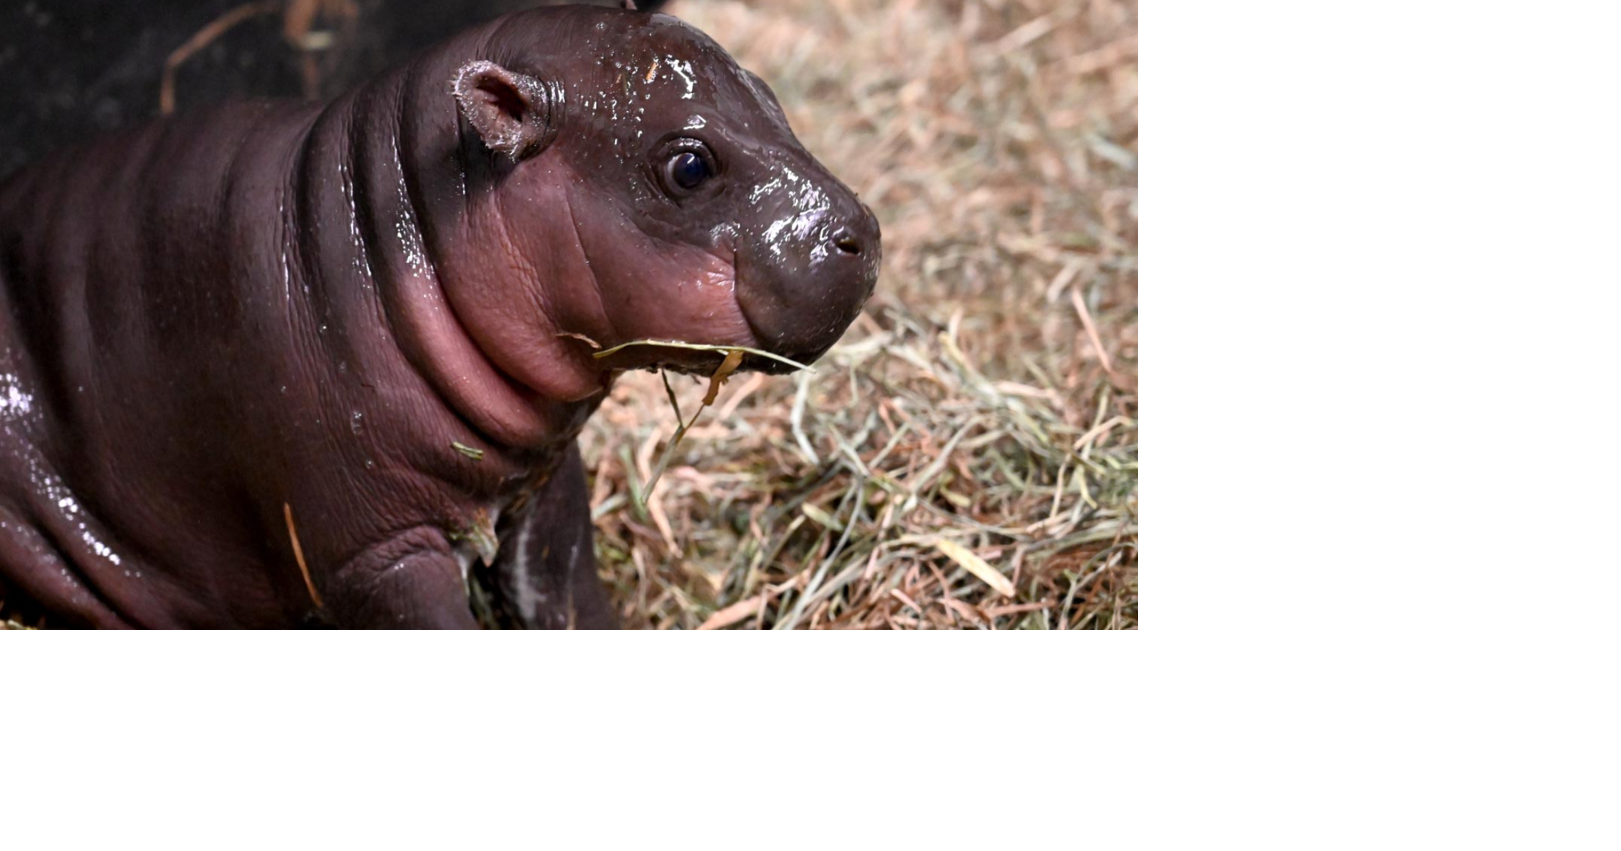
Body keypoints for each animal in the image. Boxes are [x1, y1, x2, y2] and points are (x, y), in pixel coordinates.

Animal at [0, 4, 880, 629]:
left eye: (768, 94)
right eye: (689, 166)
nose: (862, 232)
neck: (382, 238)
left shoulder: (543, 486)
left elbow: (568, 591)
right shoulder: (376, 552)